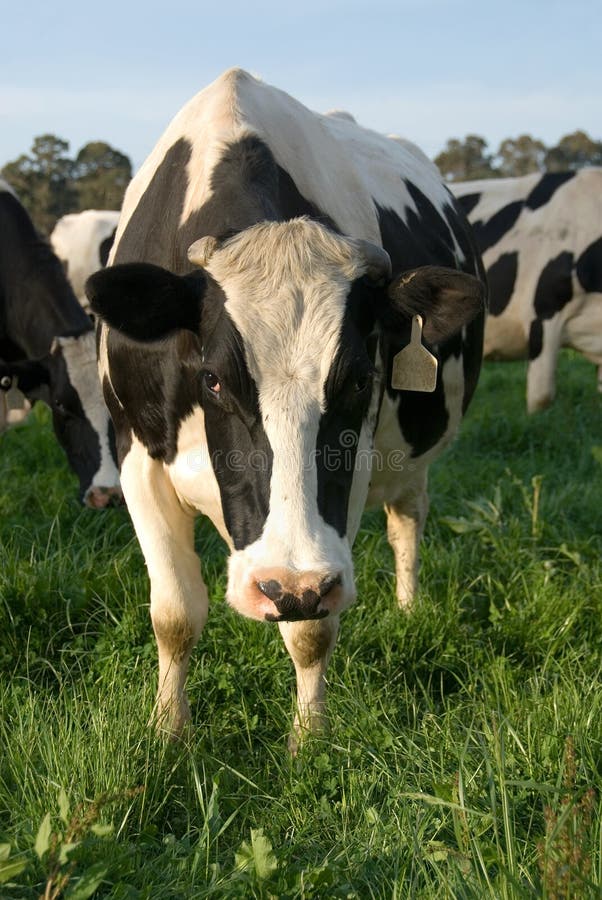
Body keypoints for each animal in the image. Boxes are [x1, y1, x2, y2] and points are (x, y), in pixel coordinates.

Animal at [86, 68, 486, 746]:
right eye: (213, 379)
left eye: (359, 378)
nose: (287, 586)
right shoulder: (136, 455)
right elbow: (174, 613)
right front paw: (168, 731)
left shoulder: (350, 475)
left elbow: (312, 629)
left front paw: (309, 740)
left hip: (410, 459)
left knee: (407, 521)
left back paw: (409, 611)